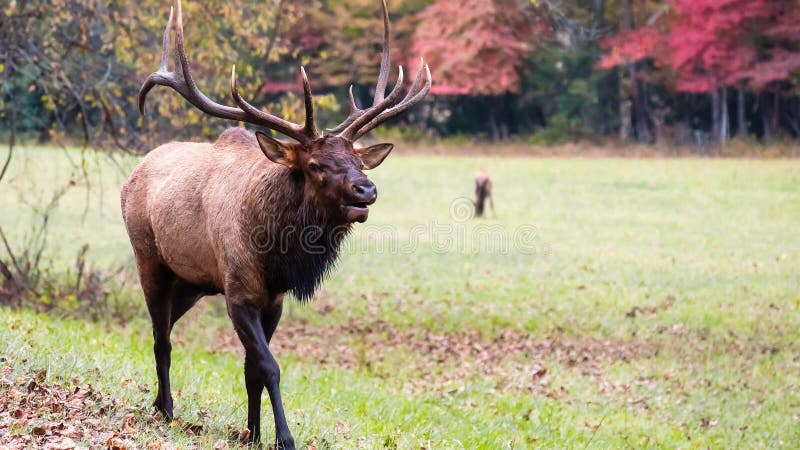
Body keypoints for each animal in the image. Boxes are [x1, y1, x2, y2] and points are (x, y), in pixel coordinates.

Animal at [120, 0, 430, 448]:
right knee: (162, 337)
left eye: (357, 158)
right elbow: (269, 366)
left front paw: (252, 433)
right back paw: (166, 409)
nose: (366, 189)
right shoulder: (239, 293)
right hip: (149, 259)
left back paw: (159, 404)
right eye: (315, 164)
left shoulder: (275, 300)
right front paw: (284, 436)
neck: (277, 259)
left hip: (192, 283)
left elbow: (252, 370)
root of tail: (133, 174)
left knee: (164, 329)